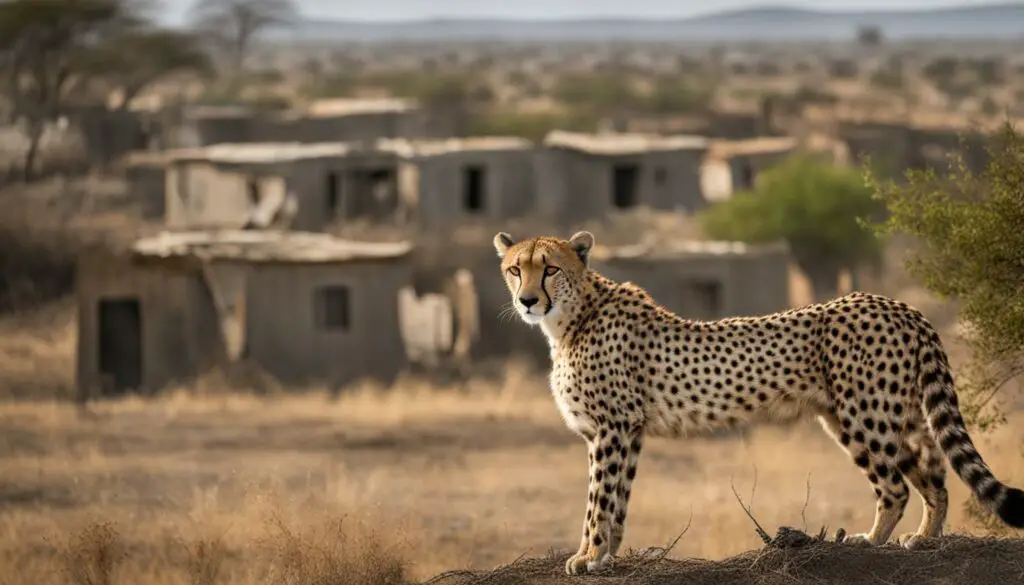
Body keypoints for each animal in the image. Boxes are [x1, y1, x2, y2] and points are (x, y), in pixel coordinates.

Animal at [493, 230, 1024, 576]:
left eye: (550, 268)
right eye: (516, 269)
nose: (527, 301)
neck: (571, 317)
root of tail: (897, 304)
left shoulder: (612, 427)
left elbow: (597, 498)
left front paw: (587, 555)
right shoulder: (628, 430)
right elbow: (617, 498)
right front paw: (607, 556)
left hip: (865, 416)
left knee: (895, 486)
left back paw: (870, 542)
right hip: (888, 414)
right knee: (935, 476)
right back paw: (926, 539)